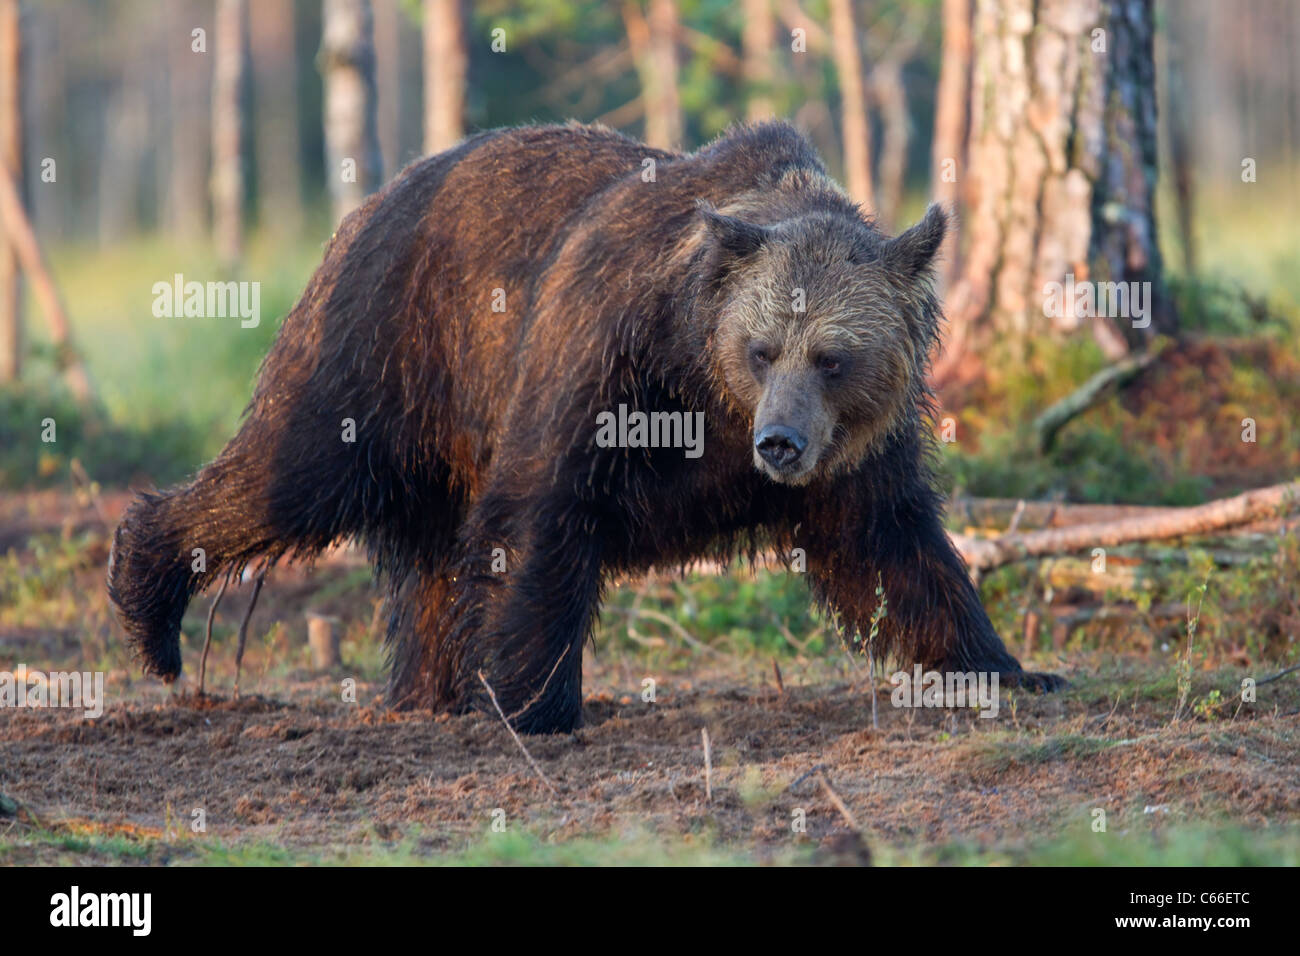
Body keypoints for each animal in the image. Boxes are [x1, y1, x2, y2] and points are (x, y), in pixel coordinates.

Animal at [108, 121, 1063, 734]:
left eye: (832, 356)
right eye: (761, 348)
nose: (779, 445)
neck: (704, 385)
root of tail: (371, 202)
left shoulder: (857, 452)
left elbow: (894, 547)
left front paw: (1008, 670)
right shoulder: (603, 355)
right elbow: (541, 513)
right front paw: (533, 704)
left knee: (428, 564)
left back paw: (427, 689)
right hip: (389, 347)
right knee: (291, 473)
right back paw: (147, 600)